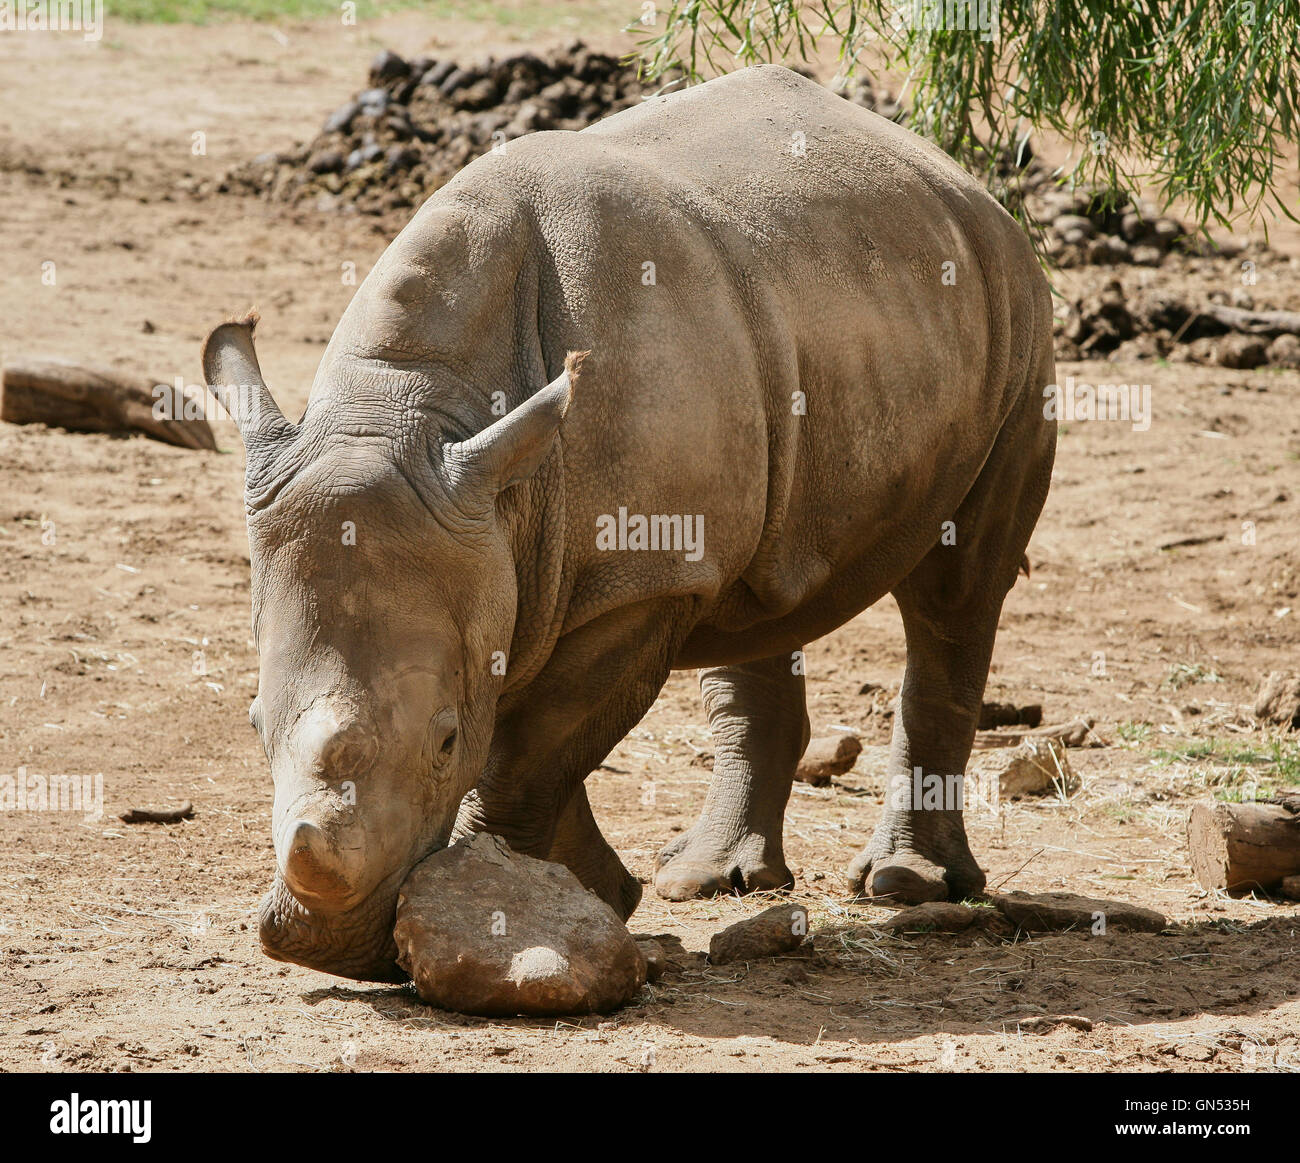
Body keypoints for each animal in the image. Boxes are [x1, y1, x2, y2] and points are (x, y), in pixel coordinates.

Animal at [203, 65, 1055, 981]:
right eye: (252, 726)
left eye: (444, 741)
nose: (318, 946)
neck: (412, 406)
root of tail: (959, 179)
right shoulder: (520, 536)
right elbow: (542, 741)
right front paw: (604, 893)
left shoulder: (634, 582)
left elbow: (524, 752)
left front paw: (509, 903)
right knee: (759, 586)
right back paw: (711, 879)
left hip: (1014, 305)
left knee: (957, 589)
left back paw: (906, 885)